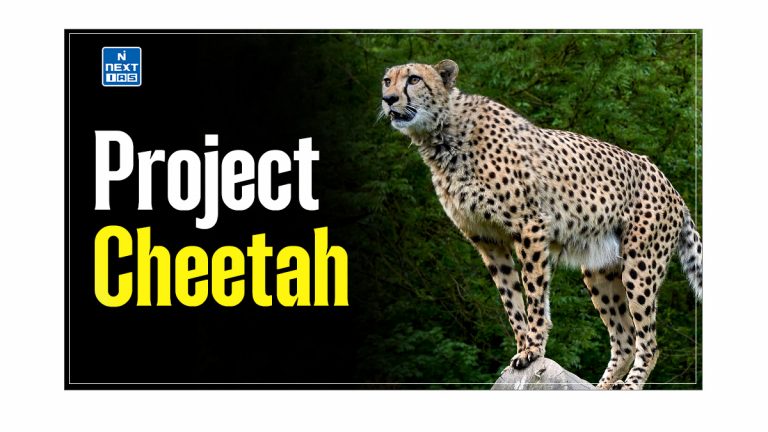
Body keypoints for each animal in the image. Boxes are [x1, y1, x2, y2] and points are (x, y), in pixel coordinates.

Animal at [380, 59, 702, 390]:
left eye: (414, 79)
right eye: (387, 80)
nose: (388, 99)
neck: (443, 135)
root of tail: (673, 188)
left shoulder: (530, 226)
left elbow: (534, 293)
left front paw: (533, 349)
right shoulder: (487, 241)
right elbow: (511, 299)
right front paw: (523, 348)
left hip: (640, 262)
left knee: (648, 342)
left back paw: (630, 385)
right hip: (600, 268)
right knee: (624, 338)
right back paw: (602, 386)